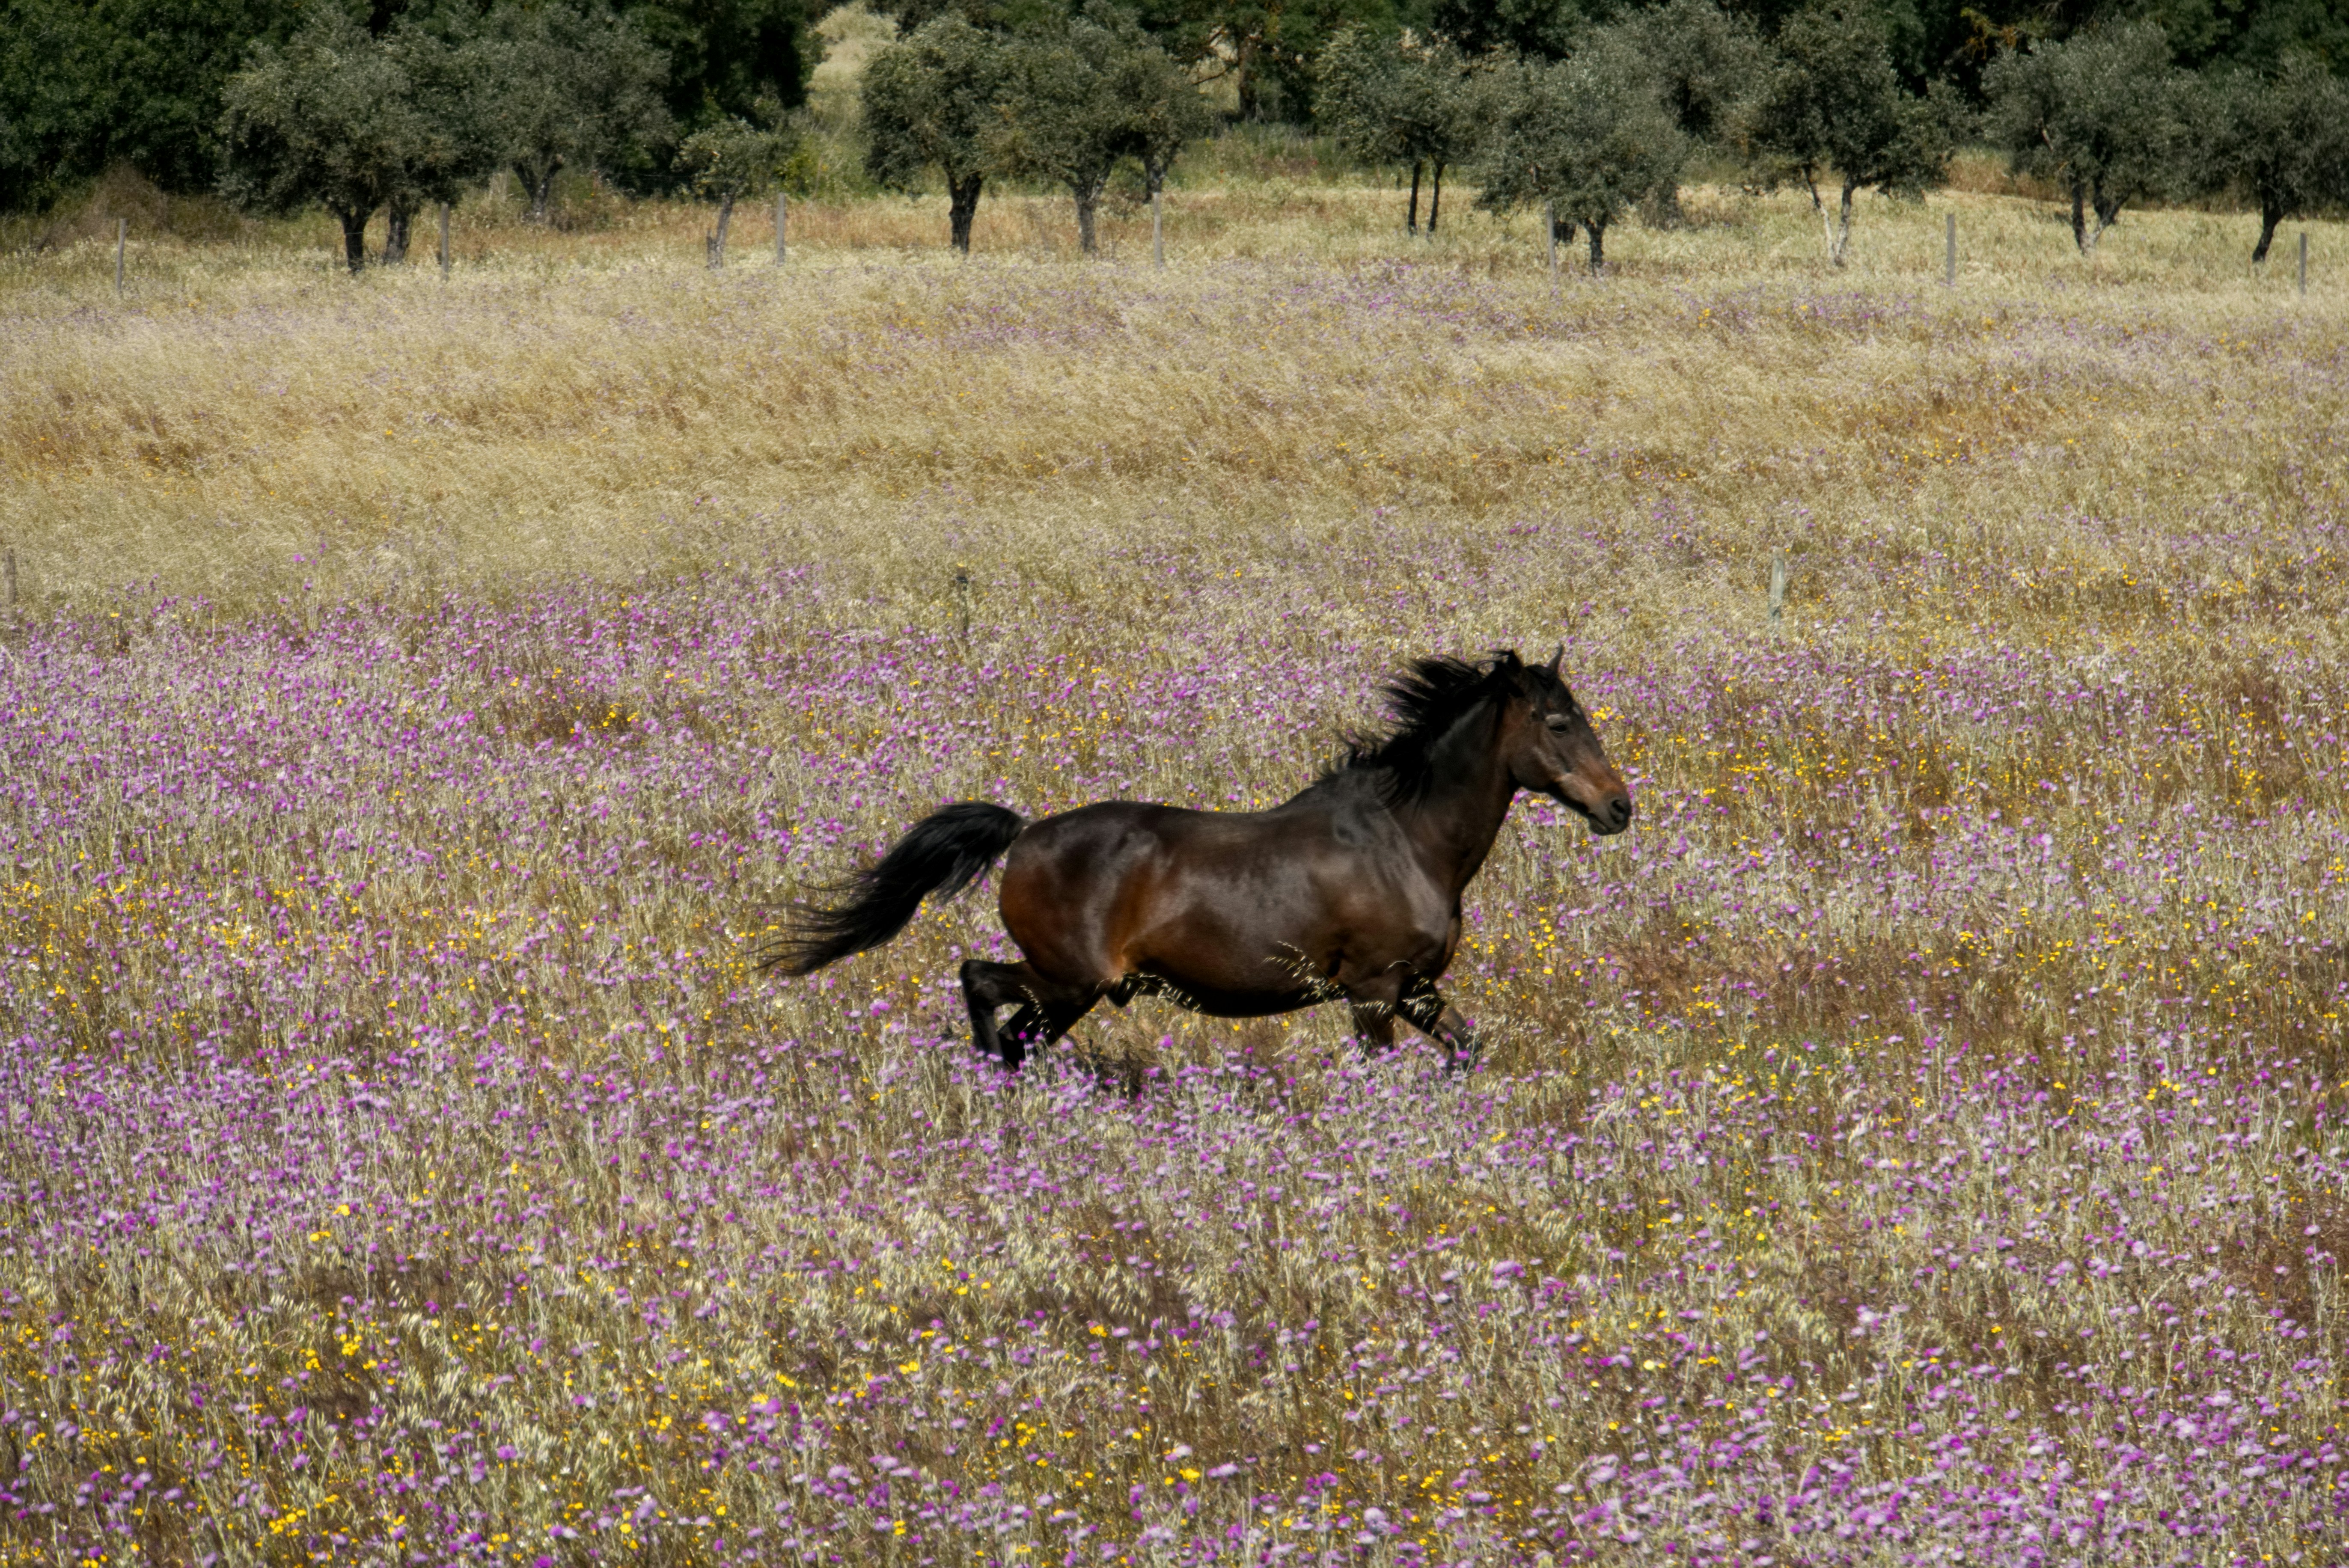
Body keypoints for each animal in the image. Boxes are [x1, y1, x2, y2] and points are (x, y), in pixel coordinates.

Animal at [765, 649, 1633, 1071]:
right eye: (1558, 723)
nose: (1620, 807)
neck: (1406, 840)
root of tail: (1024, 834)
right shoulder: (1373, 990)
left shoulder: (1418, 988)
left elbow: (1467, 1052)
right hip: (1071, 979)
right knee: (980, 984)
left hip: (1071, 992)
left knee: (1016, 1033)